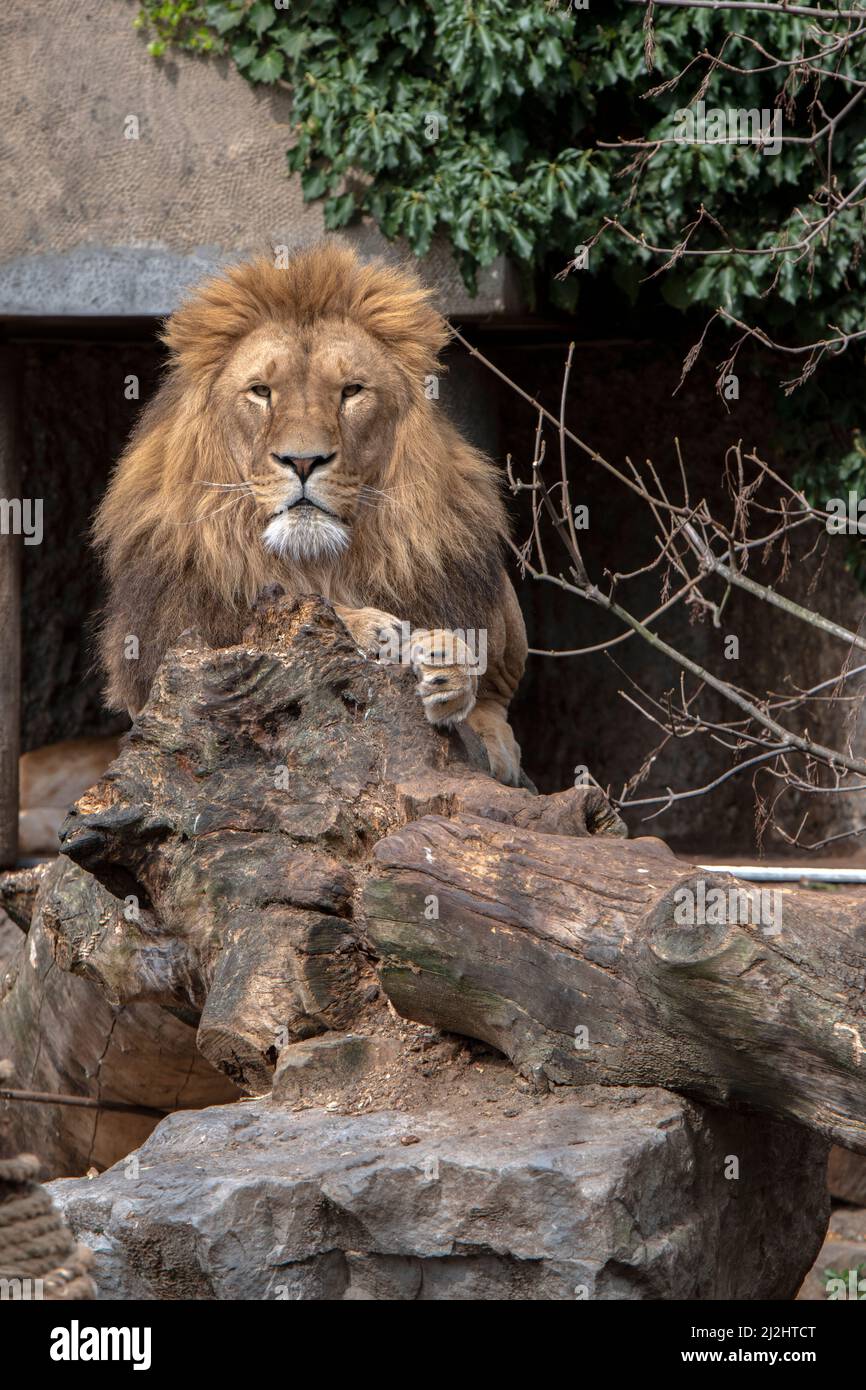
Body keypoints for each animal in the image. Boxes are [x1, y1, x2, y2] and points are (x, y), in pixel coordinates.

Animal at [93, 241, 527, 784]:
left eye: (351, 390)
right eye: (261, 391)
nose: (303, 461)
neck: (315, 560)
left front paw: (446, 664)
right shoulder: (160, 651)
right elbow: (267, 615)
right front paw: (375, 629)